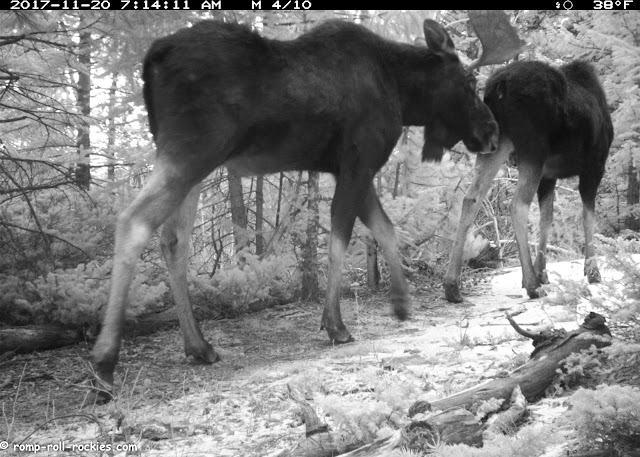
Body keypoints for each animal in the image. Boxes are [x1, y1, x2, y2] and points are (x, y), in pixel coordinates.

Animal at [91, 12, 523, 395]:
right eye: (468, 81)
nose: (492, 131)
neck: (402, 94)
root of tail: (153, 57)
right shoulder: (358, 161)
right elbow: (339, 239)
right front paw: (335, 325)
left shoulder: (352, 167)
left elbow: (384, 228)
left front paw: (401, 303)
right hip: (192, 151)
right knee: (133, 221)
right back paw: (104, 362)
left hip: (189, 162)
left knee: (172, 240)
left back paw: (199, 346)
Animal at [443, 60, 614, 303]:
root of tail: (498, 87)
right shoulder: (594, 166)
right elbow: (587, 217)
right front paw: (592, 271)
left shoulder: (549, 175)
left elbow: (546, 218)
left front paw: (542, 270)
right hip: (533, 149)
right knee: (518, 205)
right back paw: (532, 285)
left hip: (497, 142)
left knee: (471, 199)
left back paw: (452, 286)